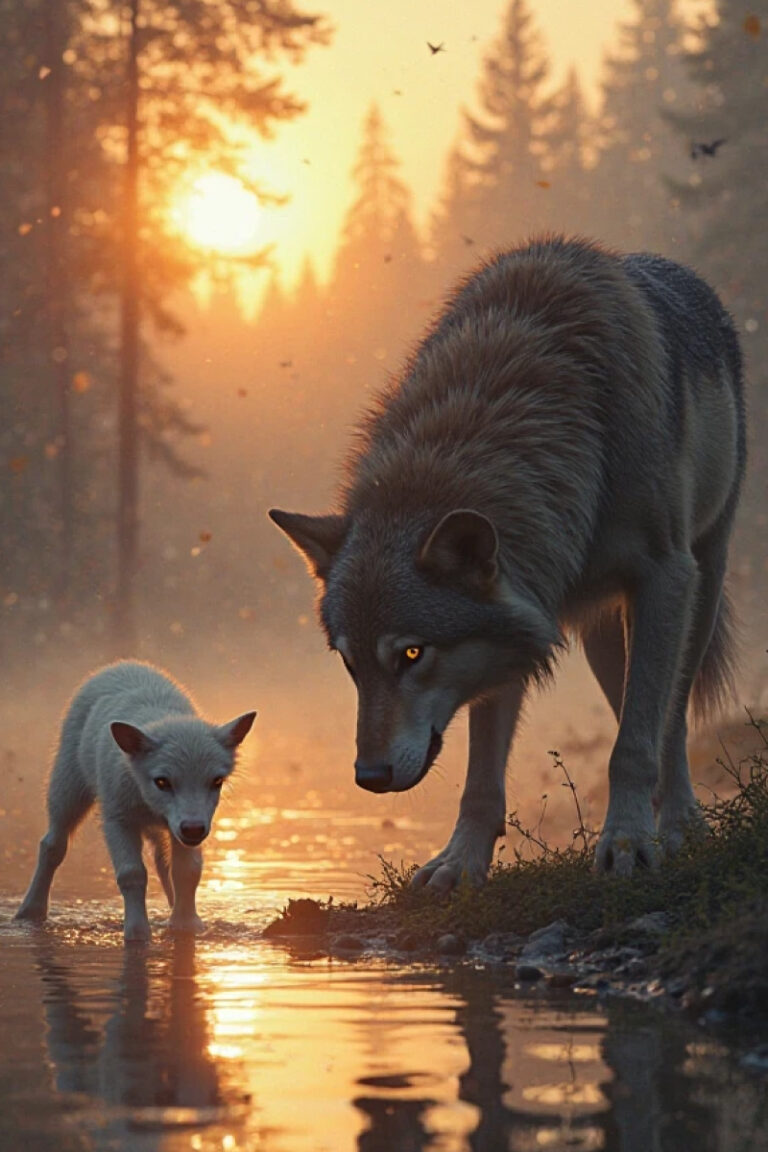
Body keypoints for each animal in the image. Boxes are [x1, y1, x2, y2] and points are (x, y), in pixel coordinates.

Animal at [15, 661, 256, 940]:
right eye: (162, 781)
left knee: (163, 861)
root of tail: (122, 664)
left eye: (217, 781)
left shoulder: (185, 824)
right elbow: (132, 873)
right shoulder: (117, 817)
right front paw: (137, 933)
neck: (148, 800)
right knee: (53, 844)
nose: (193, 829)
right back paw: (30, 911)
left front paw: (187, 926)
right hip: (67, 778)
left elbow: (187, 870)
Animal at [270, 236, 746, 890]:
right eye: (349, 663)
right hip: (603, 635)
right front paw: (459, 864)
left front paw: (627, 843)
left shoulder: (662, 576)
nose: (368, 777)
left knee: (668, 721)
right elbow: (480, 777)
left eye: (411, 654)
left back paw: (678, 828)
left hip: (698, 585)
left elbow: (634, 744)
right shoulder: (513, 627)